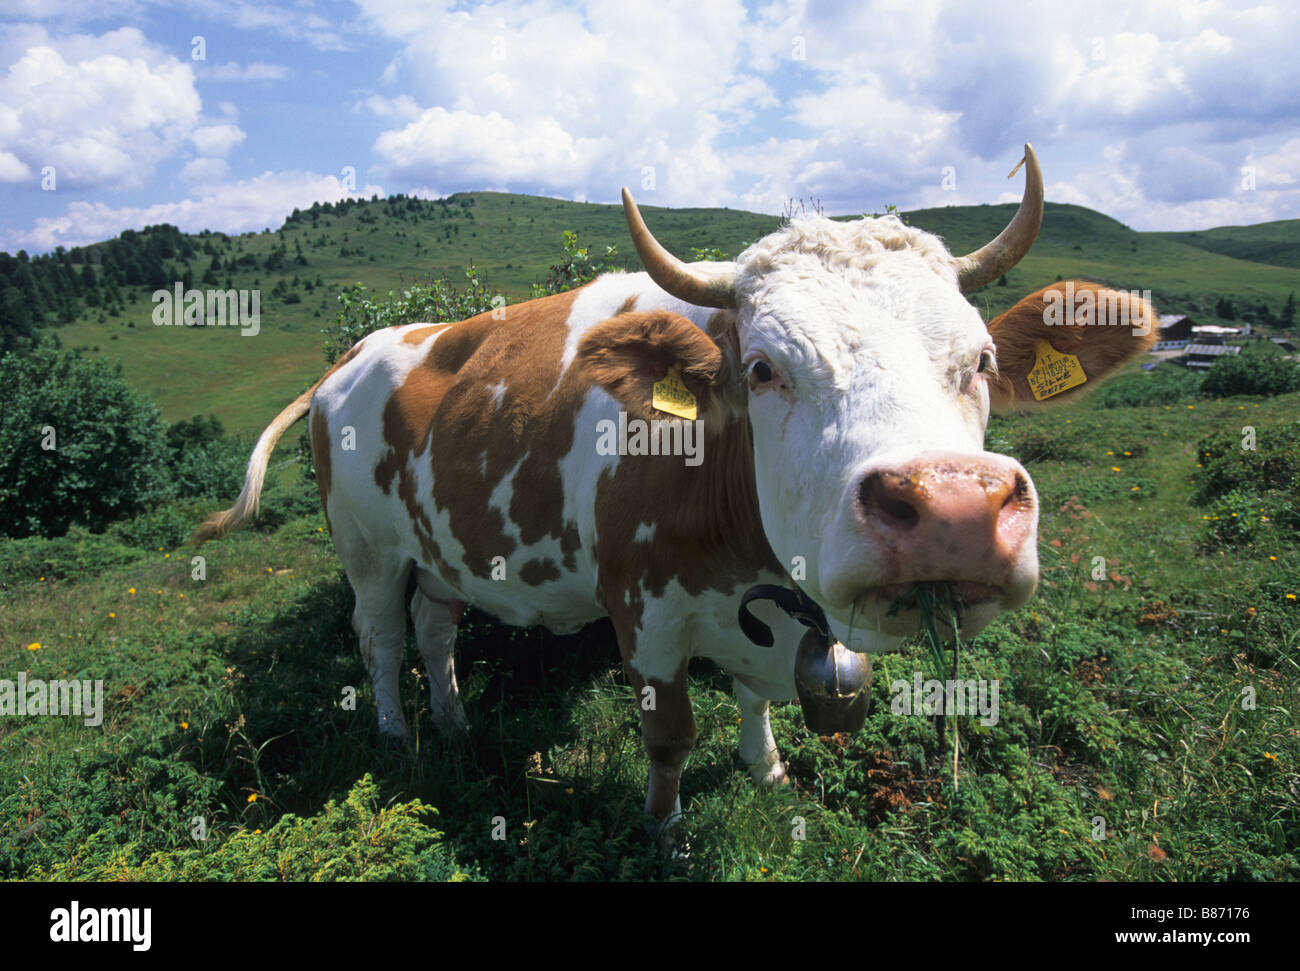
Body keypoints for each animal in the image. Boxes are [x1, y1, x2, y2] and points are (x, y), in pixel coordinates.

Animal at [193, 144, 1156, 833]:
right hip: (366, 550)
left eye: (982, 361)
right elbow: (669, 735)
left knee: (436, 630)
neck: (747, 555)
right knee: (382, 639)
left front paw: (766, 766)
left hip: (441, 548)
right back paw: (399, 736)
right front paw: (664, 827)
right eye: (763, 368)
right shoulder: (642, 610)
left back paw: (456, 723)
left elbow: (757, 698)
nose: (953, 509)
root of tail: (354, 356)